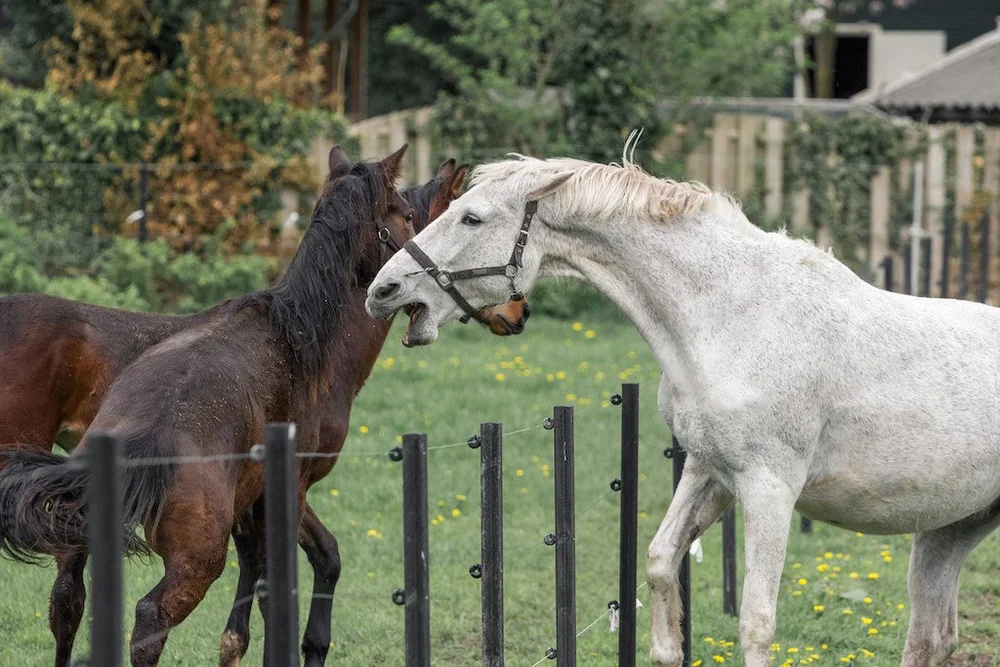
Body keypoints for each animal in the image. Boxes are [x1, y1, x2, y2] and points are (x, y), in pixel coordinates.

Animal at [0, 145, 520, 667]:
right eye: (419, 219)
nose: (518, 310)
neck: (303, 339)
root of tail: (142, 433)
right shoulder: (292, 486)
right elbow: (281, 589)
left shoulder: (258, 499)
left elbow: (310, 564)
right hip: (195, 560)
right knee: (148, 618)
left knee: (70, 598)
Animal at [365, 137, 1000, 667]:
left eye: (471, 217)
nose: (383, 290)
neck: (731, 315)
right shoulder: (708, 473)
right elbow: (660, 563)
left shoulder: (769, 489)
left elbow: (756, 621)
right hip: (948, 530)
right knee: (931, 636)